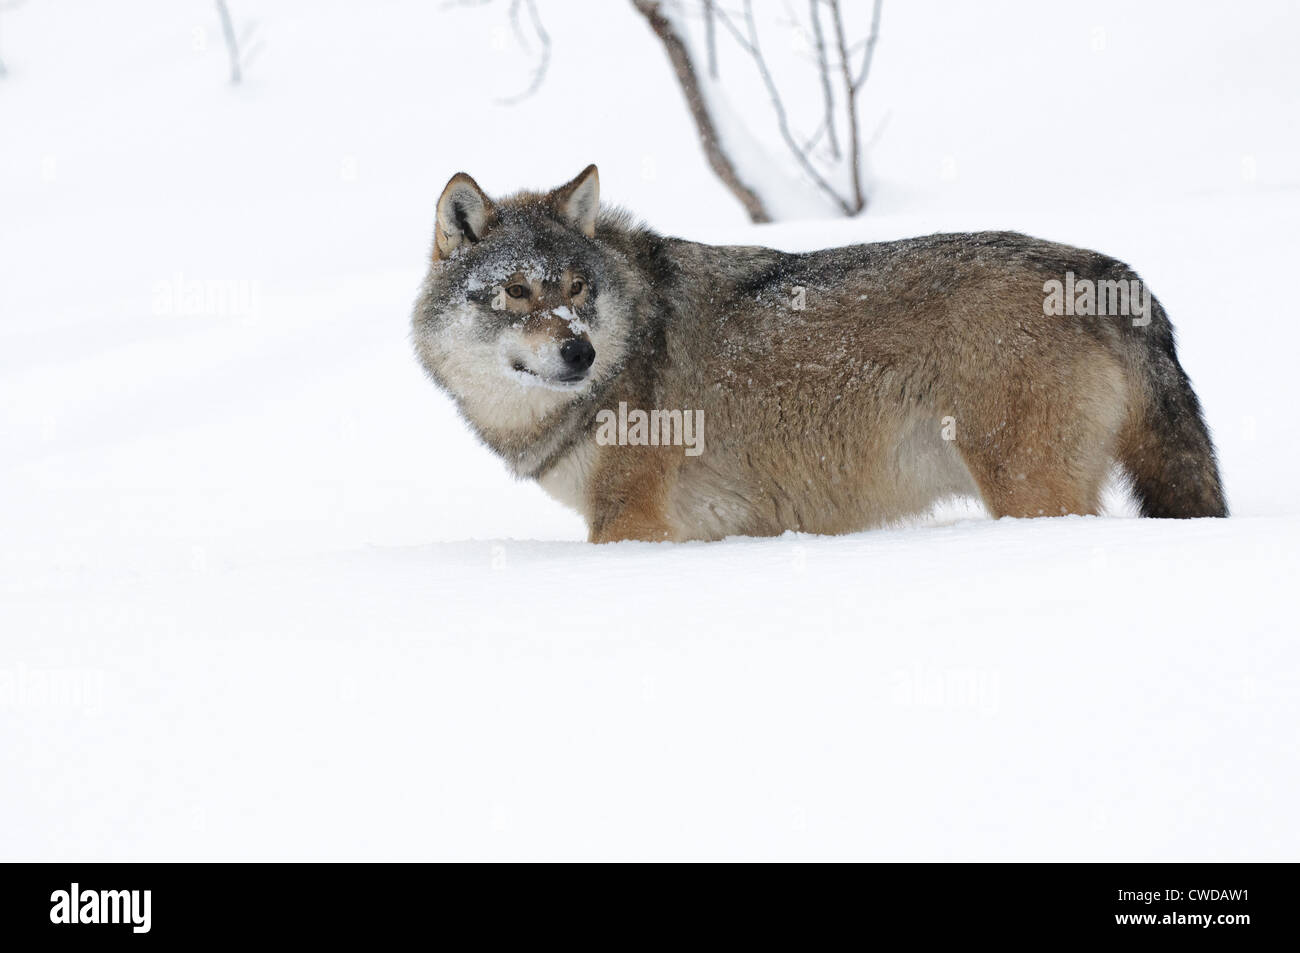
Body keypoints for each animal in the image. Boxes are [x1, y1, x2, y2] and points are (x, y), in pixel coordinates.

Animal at [412, 165, 1226, 542]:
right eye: (517, 291)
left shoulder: (629, 523)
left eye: (577, 289)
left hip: (1029, 491)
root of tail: (1107, 272)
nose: (579, 351)